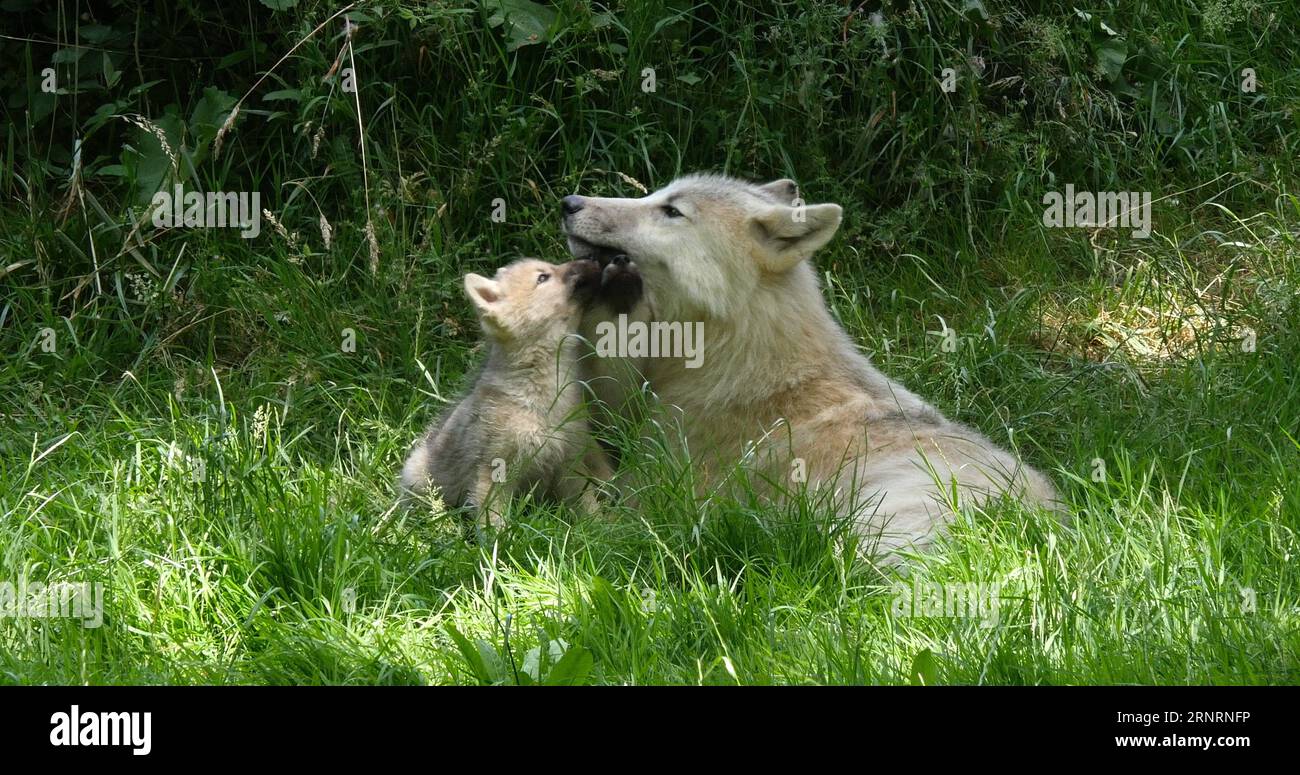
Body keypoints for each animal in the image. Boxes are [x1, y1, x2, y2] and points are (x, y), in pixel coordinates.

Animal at [400, 257, 614, 526]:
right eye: (542, 277)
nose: (594, 259)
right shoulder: (493, 473)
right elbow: (495, 523)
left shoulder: (568, 463)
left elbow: (588, 506)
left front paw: (604, 528)